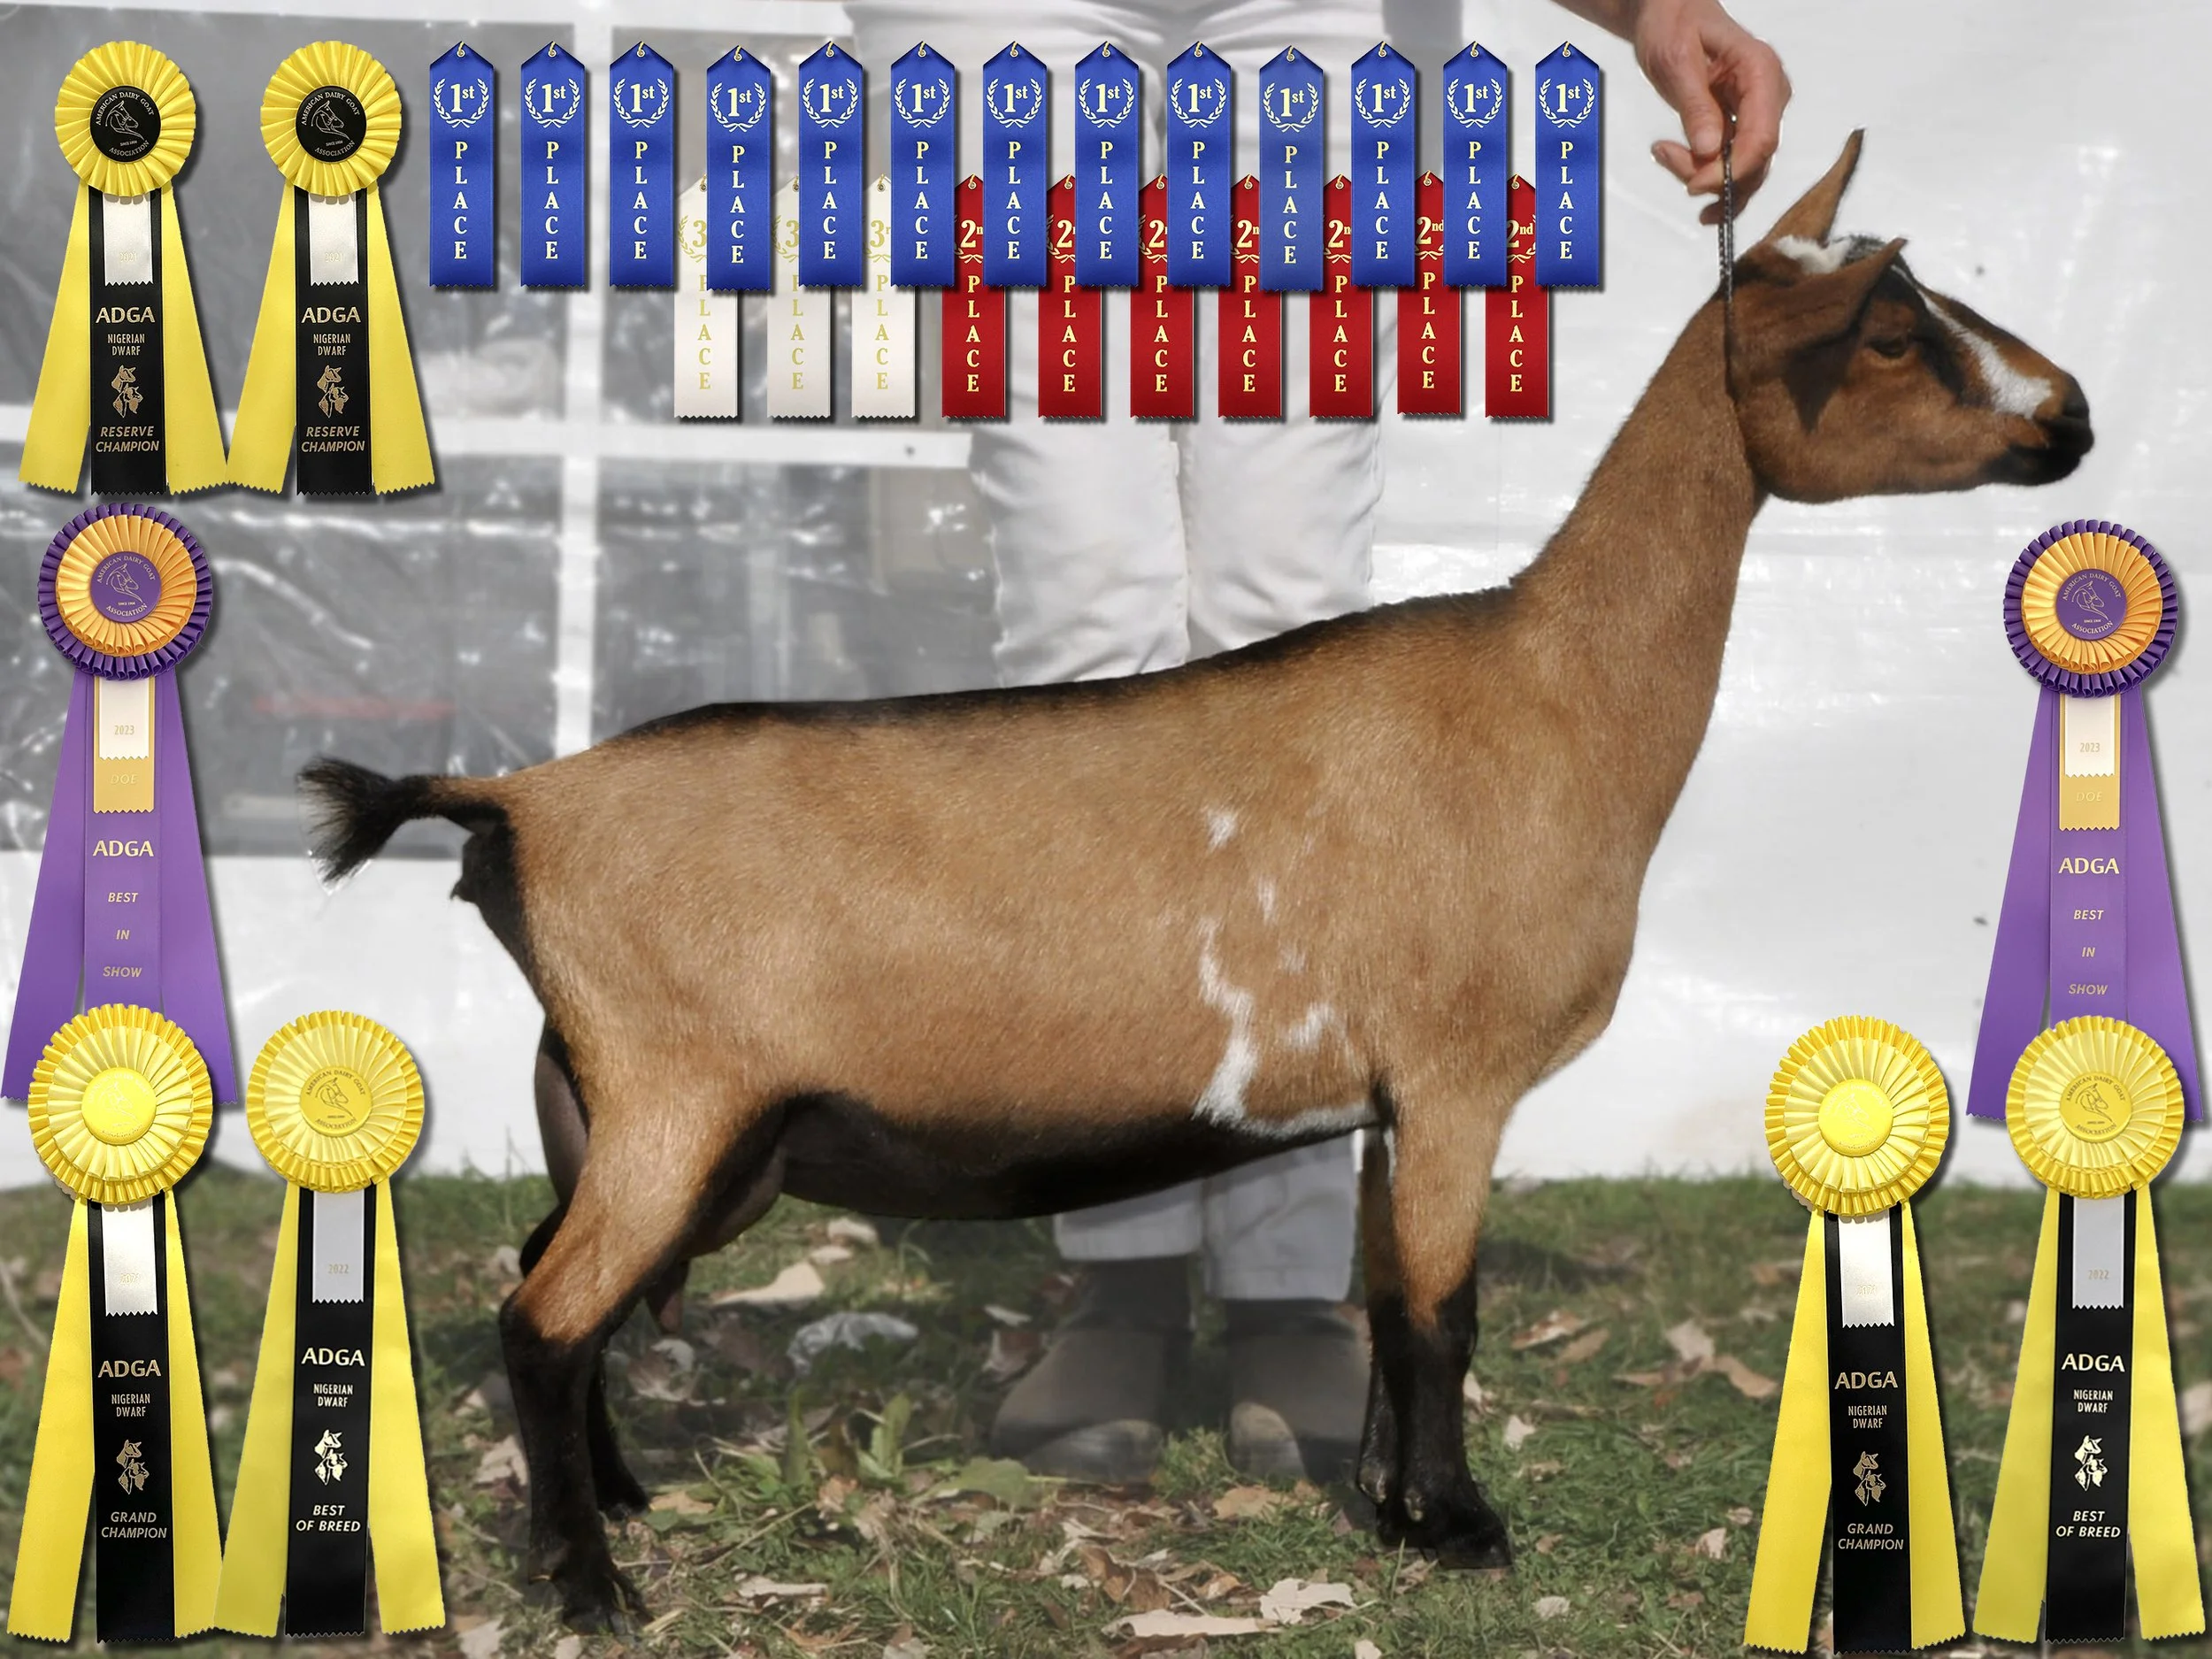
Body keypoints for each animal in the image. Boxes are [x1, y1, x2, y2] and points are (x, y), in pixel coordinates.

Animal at [299, 134, 2089, 1628]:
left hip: (629, 1103)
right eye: (1890, 329)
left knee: (549, 1274)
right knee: (545, 1316)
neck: (1554, 694)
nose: (2067, 415)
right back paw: (590, 1584)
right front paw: (1462, 1527)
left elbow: (1389, 1296)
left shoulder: (1388, 1095)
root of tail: (517, 803)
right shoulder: (1459, 1076)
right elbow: (1443, 1311)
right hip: (681, 1094)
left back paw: (611, 1499)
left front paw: (1390, 1505)